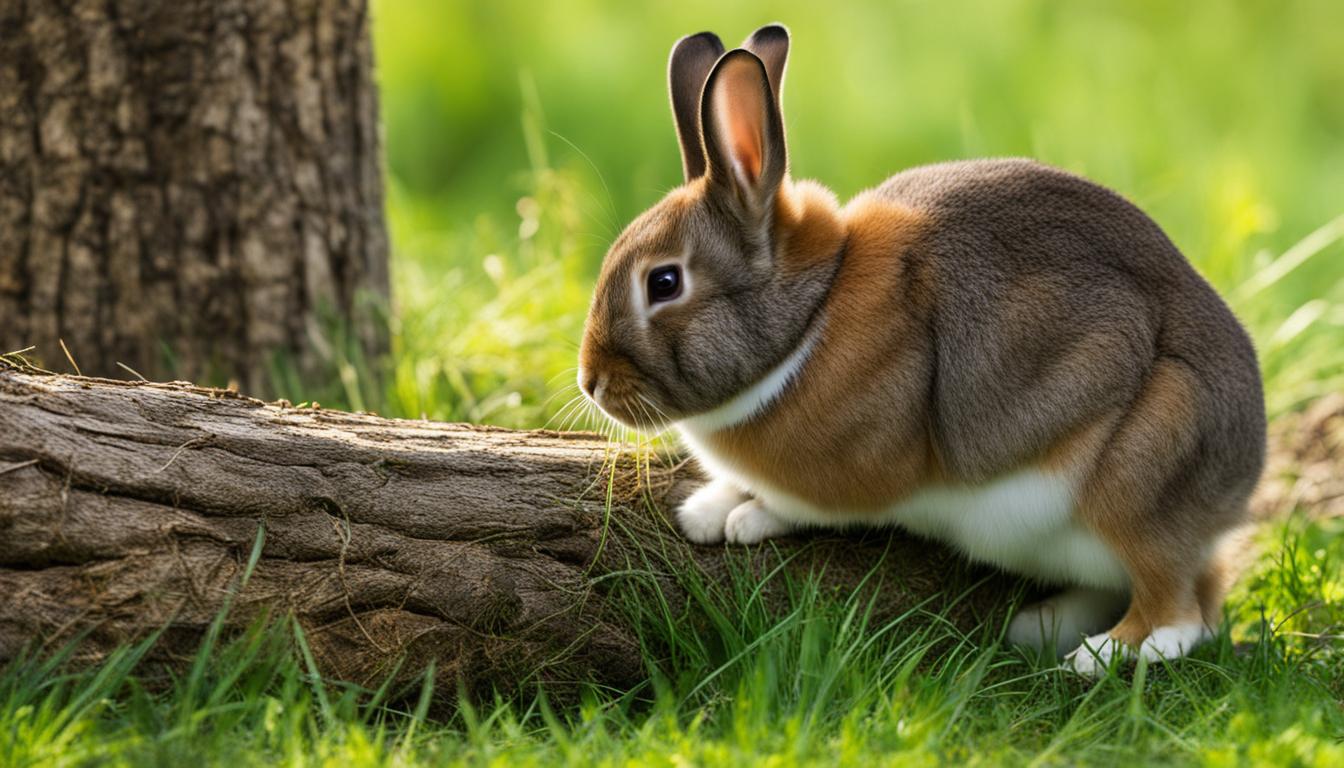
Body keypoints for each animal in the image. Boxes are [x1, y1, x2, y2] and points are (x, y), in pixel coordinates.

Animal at [576, 24, 1265, 675]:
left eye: (664, 283)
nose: (590, 382)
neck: (810, 317)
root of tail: (1242, 476)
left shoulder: (860, 471)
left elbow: (808, 505)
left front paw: (745, 517)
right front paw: (709, 507)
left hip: (1142, 475)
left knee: (1179, 609)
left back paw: (1104, 655)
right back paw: (1039, 625)